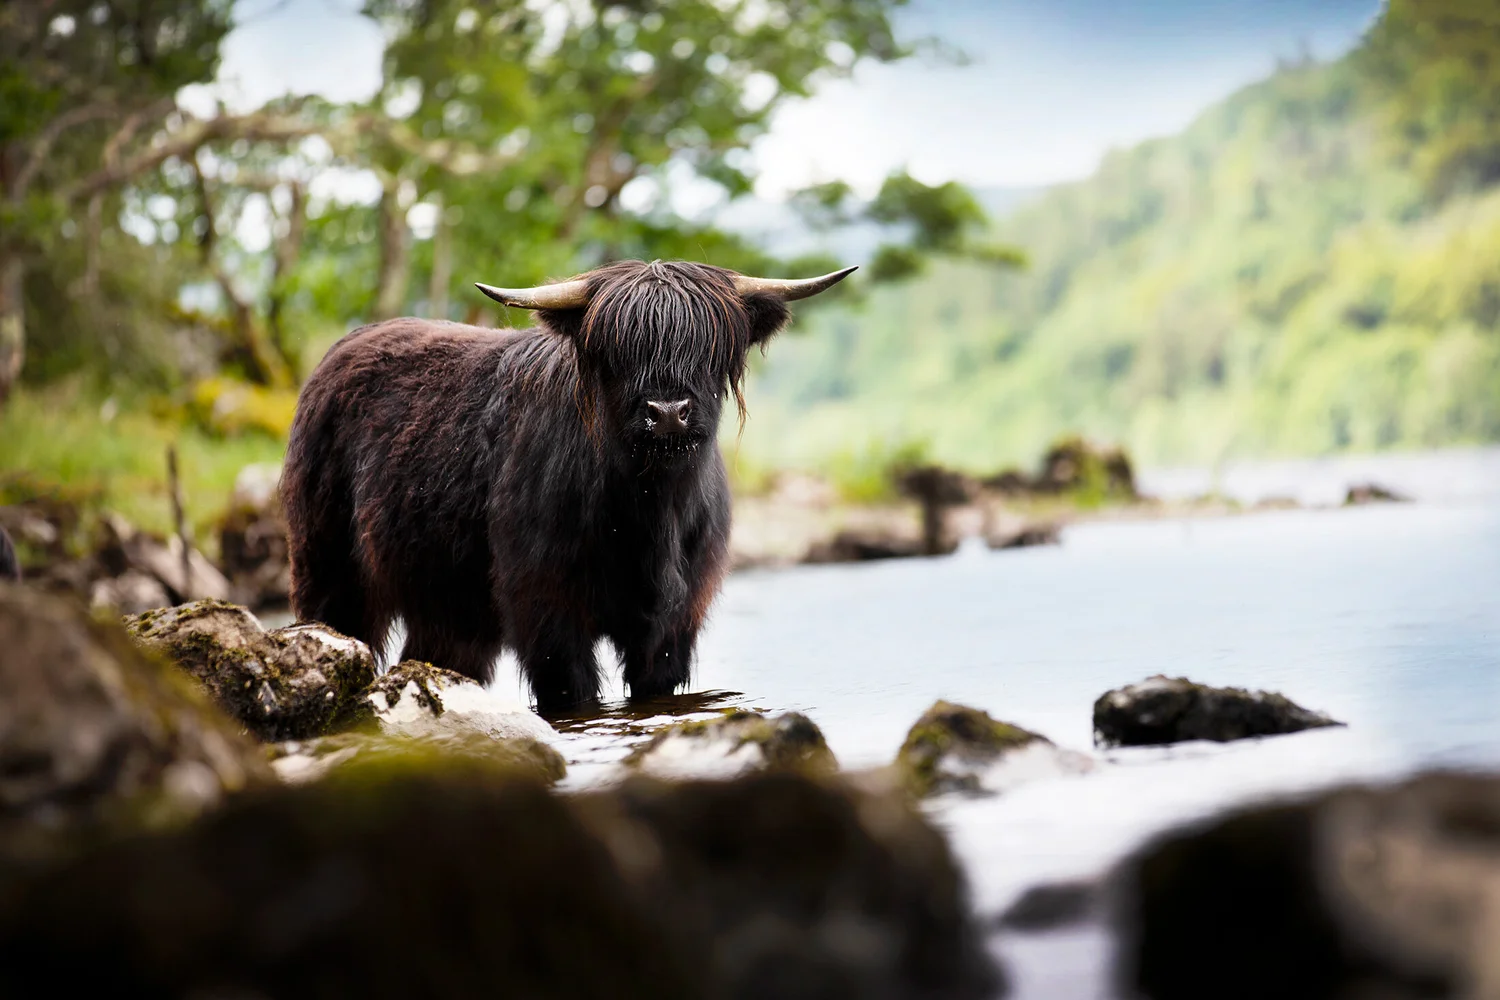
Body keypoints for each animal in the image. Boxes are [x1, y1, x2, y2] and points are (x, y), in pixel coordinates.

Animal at [282, 259, 853, 714]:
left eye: (711, 349)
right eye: (618, 351)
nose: (668, 412)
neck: (649, 514)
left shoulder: (674, 622)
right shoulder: (546, 609)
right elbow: (572, 691)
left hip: (449, 604)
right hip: (329, 569)